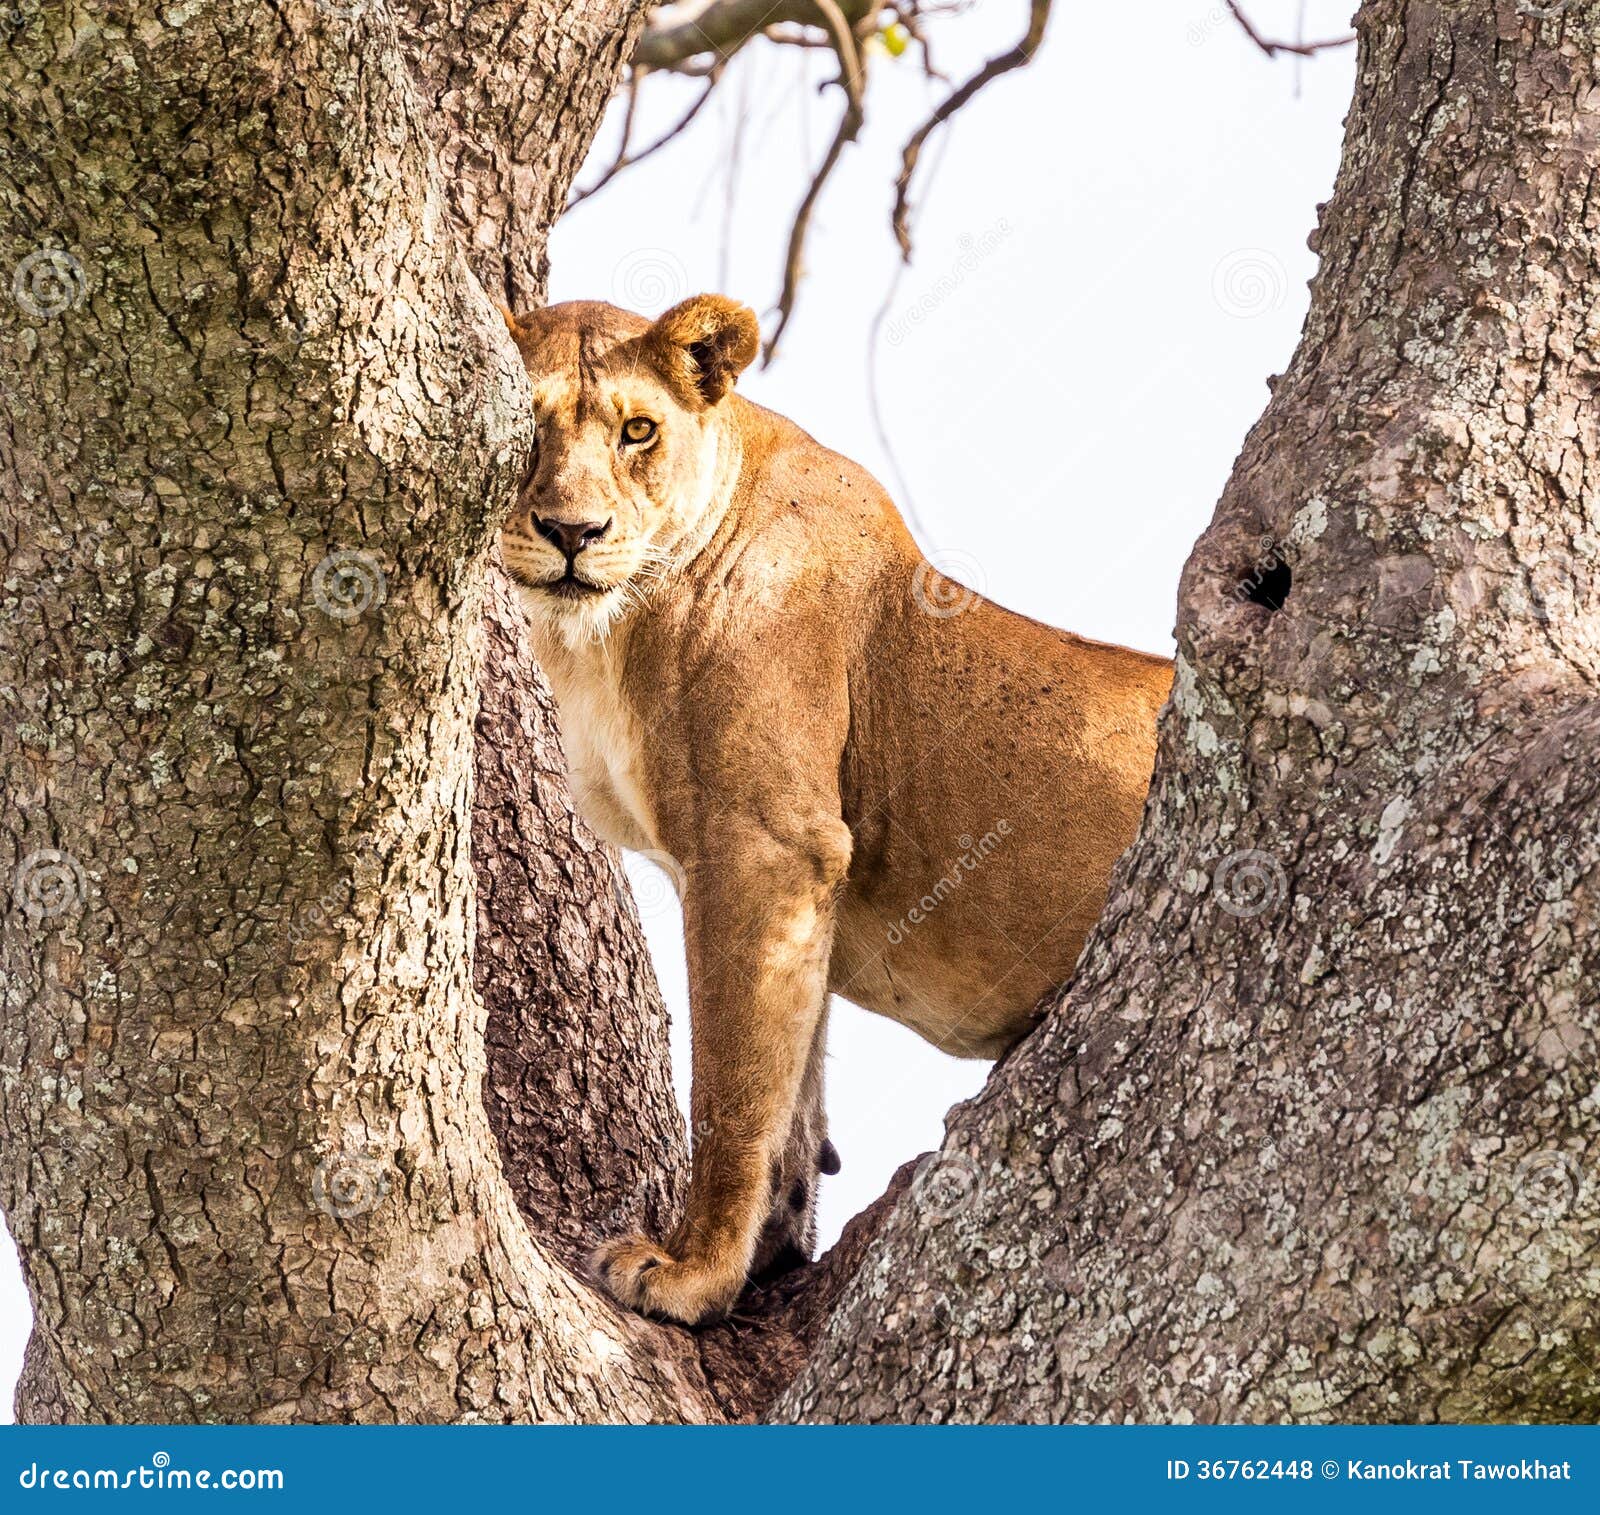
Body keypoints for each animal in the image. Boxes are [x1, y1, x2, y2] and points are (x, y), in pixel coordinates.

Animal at [499, 294, 1172, 1326]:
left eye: (637, 431)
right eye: (527, 426)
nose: (574, 531)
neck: (604, 637)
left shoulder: (765, 846)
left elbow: (736, 1086)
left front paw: (692, 1274)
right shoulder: (794, 874)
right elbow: (794, 1090)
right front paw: (769, 1260)